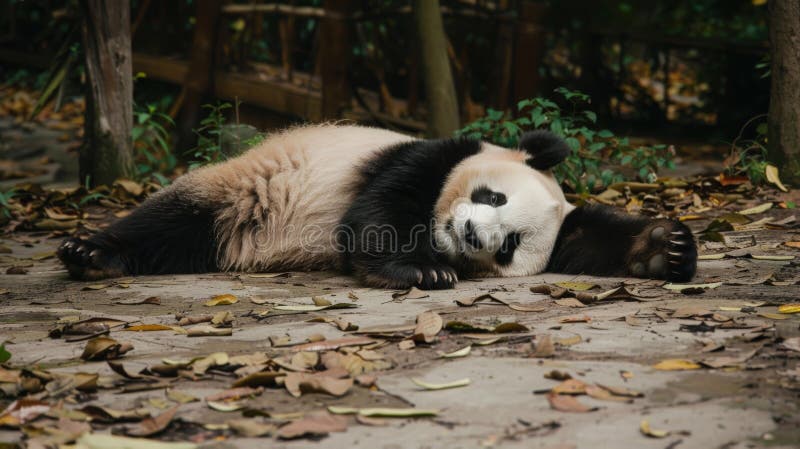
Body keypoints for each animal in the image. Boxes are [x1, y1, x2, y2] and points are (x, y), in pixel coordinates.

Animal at [57, 124, 697, 289]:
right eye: (491, 196)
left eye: (510, 247)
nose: (472, 235)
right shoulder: (421, 157)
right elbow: (375, 214)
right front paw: (421, 271)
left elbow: (586, 243)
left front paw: (666, 248)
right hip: (243, 187)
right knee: (171, 220)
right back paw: (89, 254)